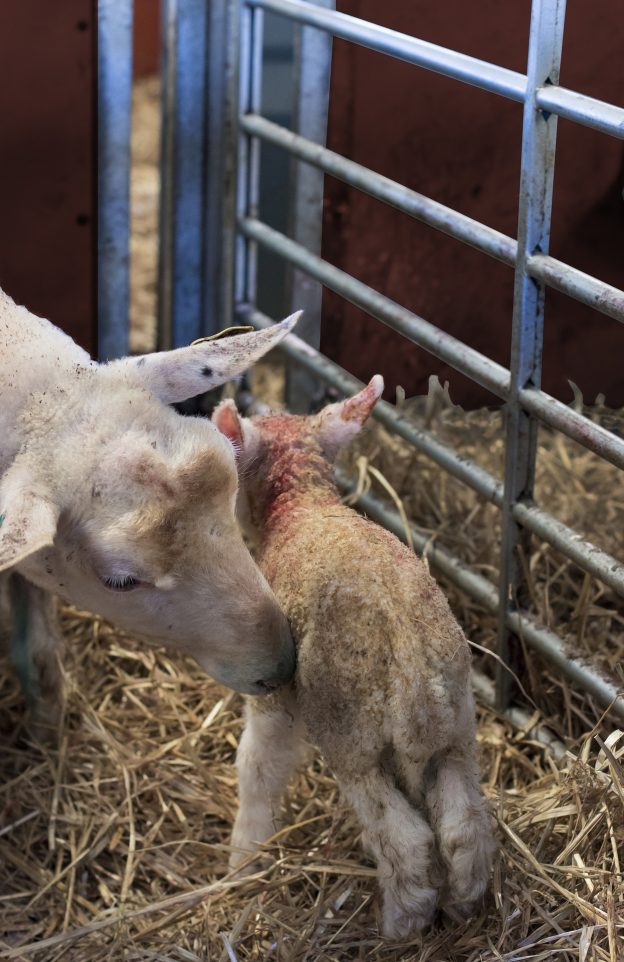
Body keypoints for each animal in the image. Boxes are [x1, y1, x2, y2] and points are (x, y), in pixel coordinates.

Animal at [213, 377, 495, 938]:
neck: (303, 505)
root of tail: (415, 685)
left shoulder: (275, 688)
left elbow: (258, 764)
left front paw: (244, 858)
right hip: (458, 731)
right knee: (462, 829)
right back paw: (464, 908)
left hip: (353, 735)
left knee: (407, 842)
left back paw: (400, 925)